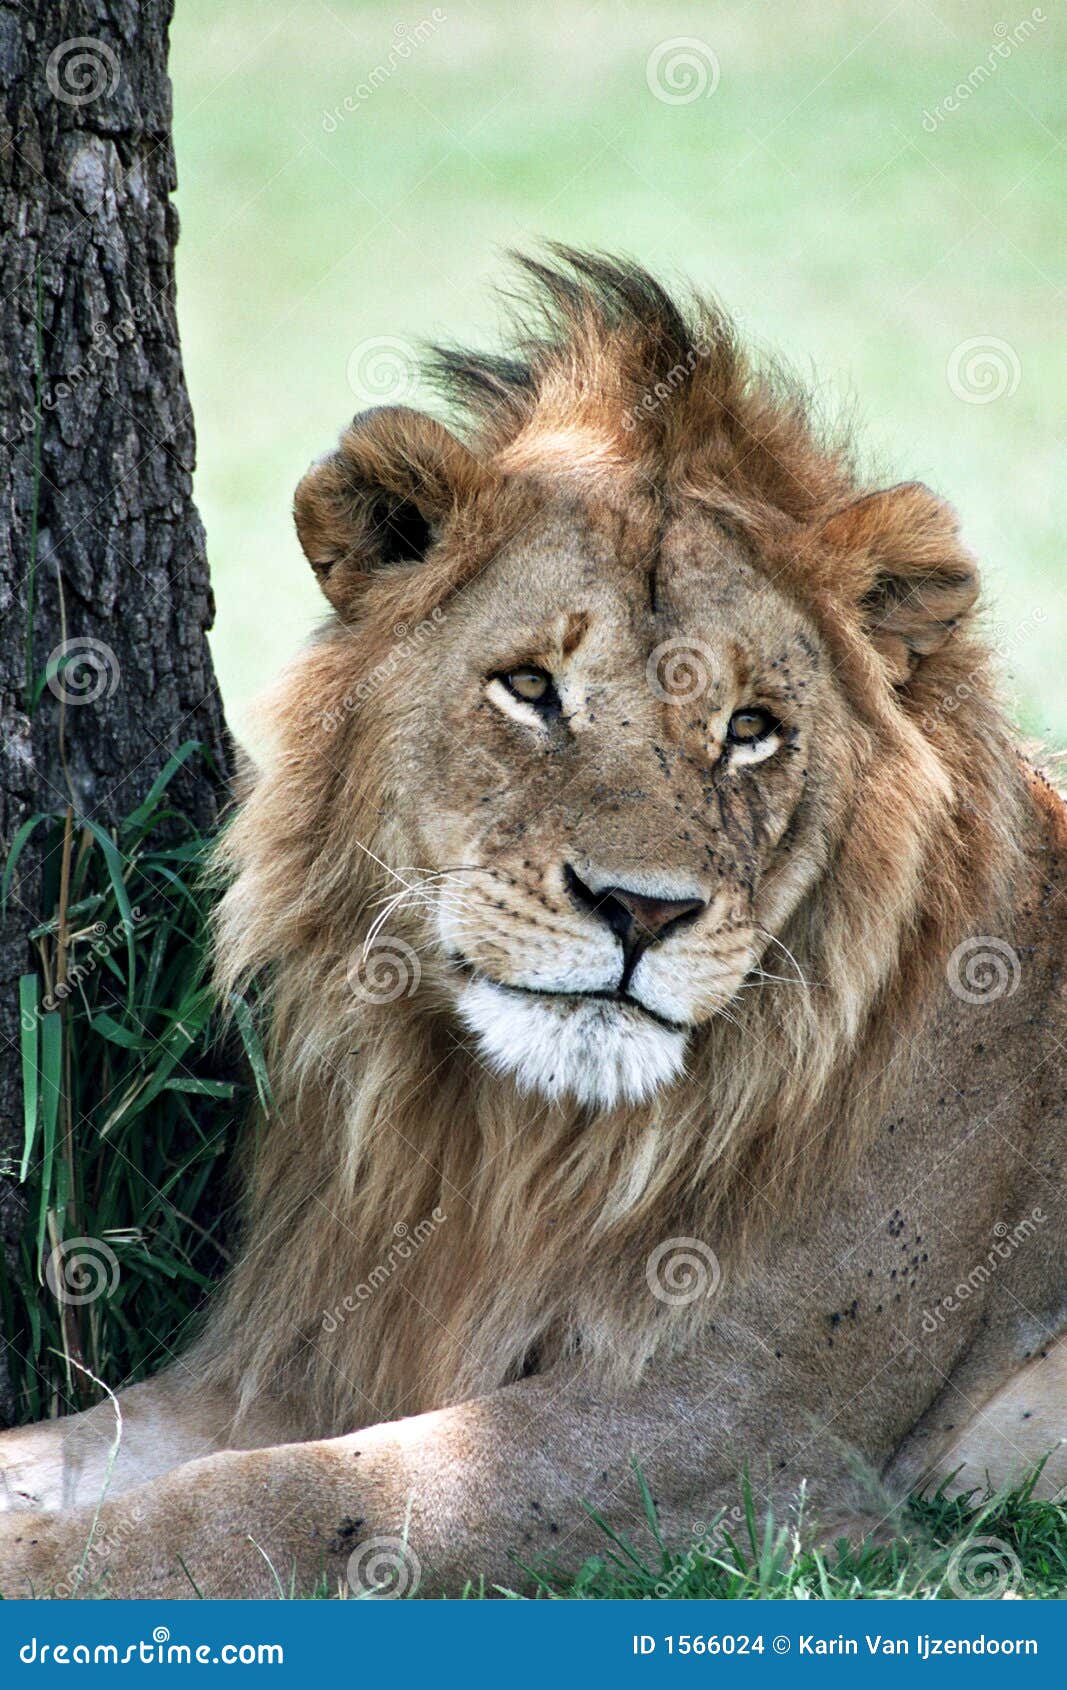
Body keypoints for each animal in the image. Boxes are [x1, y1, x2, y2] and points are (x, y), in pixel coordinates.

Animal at [1, 250, 1064, 1599]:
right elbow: (91, 1443)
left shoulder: (748, 1419)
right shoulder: (297, 1345)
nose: (639, 908)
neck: (500, 1140)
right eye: (529, 688)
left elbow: (294, 1498)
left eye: (750, 728)